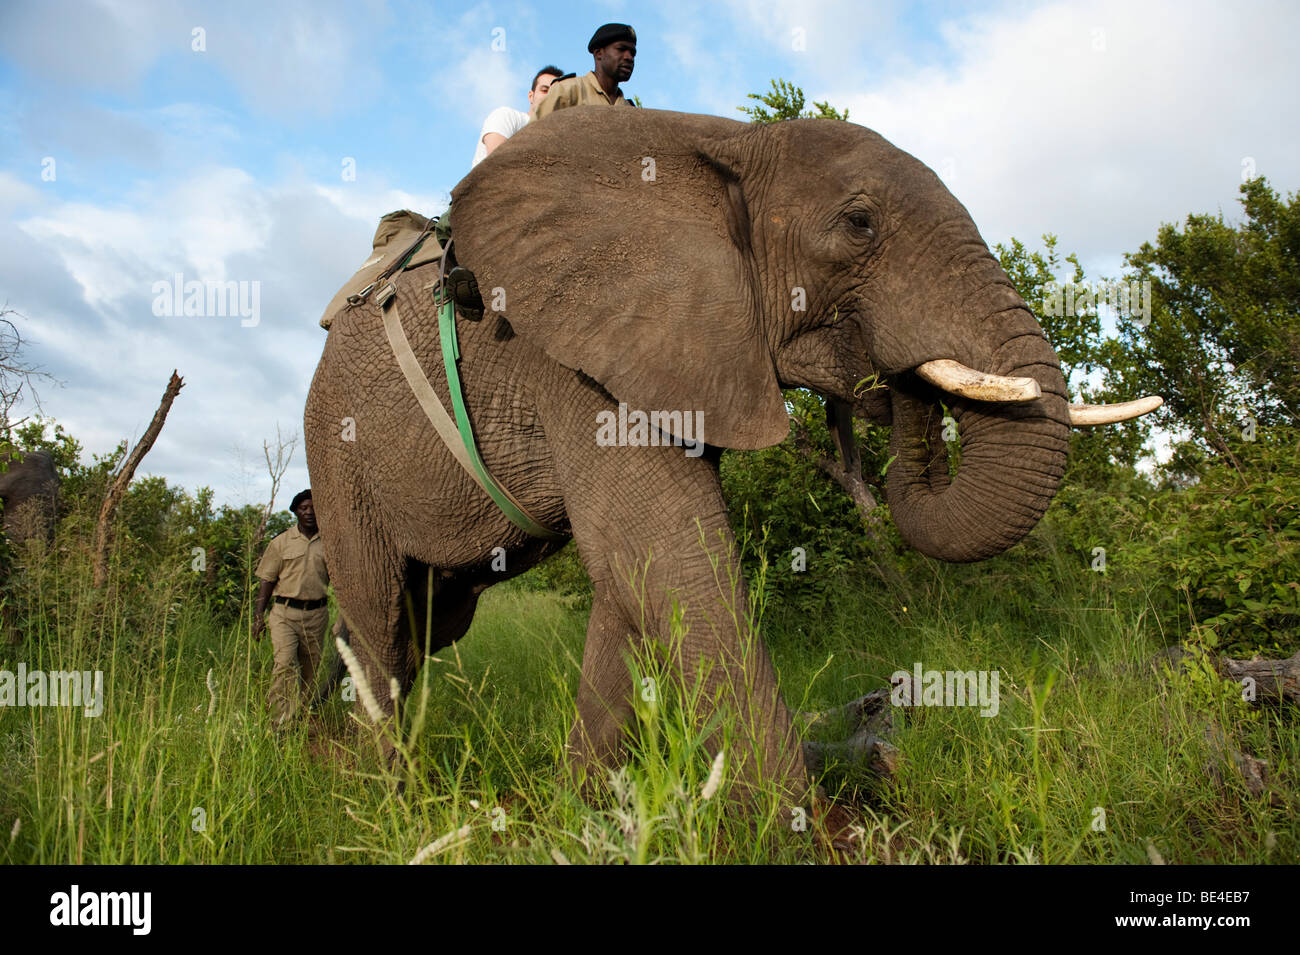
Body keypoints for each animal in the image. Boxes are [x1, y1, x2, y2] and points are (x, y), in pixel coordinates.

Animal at [304, 107, 1154, 802]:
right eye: (858, 223)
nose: (893, 382)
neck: (729, 142)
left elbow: (634, 579)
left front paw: (581, 811)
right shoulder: (569, 354)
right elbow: (666, 555)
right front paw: (790, 830)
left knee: (427, 621)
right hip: (334, 448)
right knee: (381, 617)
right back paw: (394, 801)